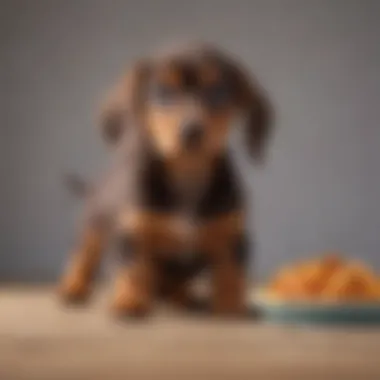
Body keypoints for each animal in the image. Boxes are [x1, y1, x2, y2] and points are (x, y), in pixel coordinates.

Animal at [58, 42, 274, 318]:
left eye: (217, 94)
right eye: (164, 93)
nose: (192, 131)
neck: (188, 175)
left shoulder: (232, 236)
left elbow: (231, 275)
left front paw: (232, 308)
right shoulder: (134, 233)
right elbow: (134, 270)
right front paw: (130, 301)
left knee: (174, 284)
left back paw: (183, 299)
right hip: (94, 222)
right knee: (84, 256)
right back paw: (73, 288)